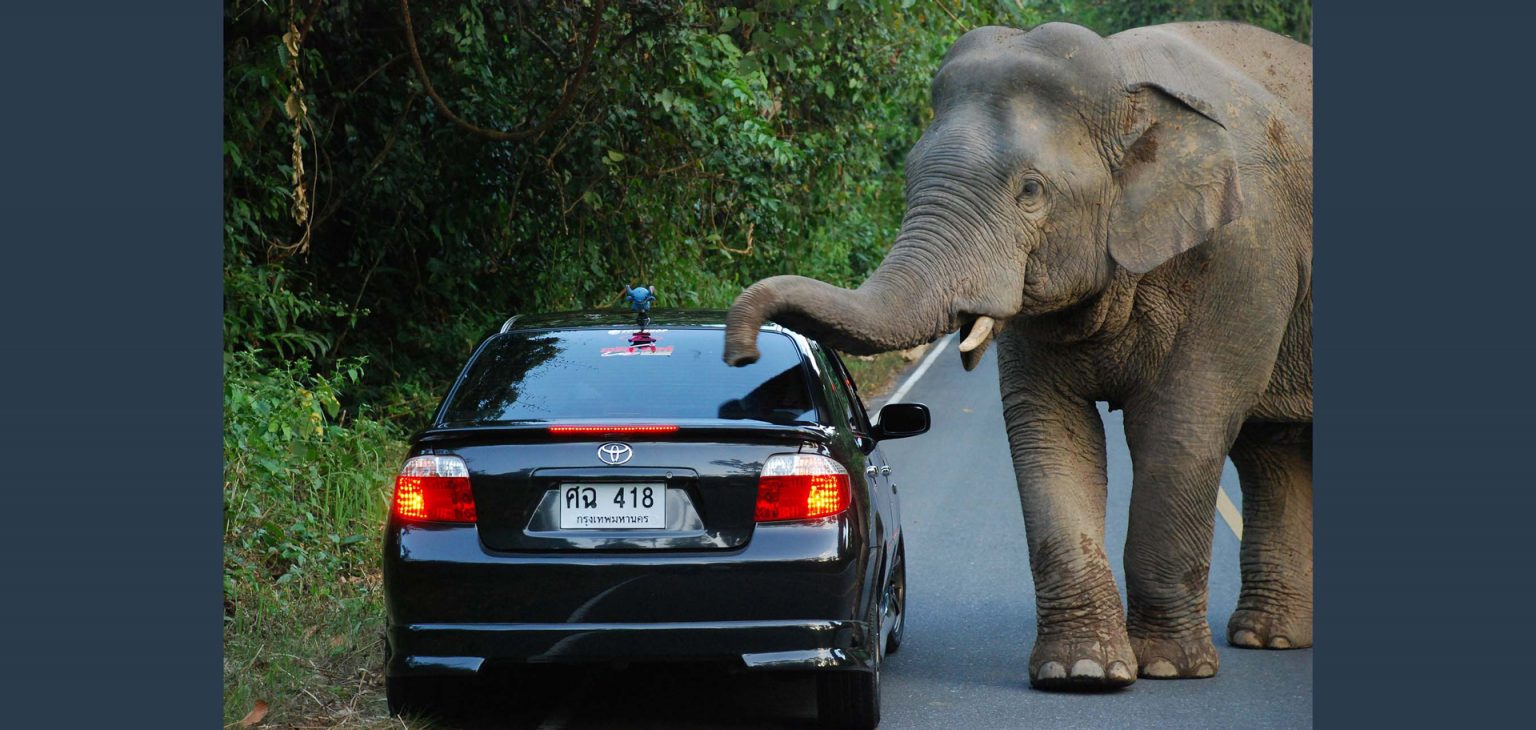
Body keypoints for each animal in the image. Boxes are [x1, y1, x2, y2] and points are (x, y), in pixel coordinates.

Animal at [722, 21, 1311, 690]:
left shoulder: (1245, 260)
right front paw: (1081, 672)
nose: (739, 354)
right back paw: (1270, 637)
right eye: (909, 174)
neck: (1128, 87)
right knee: (1272, 452)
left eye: (1031, 191)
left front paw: (1167, 668)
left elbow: (1180, 427)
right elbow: (1048, 427)